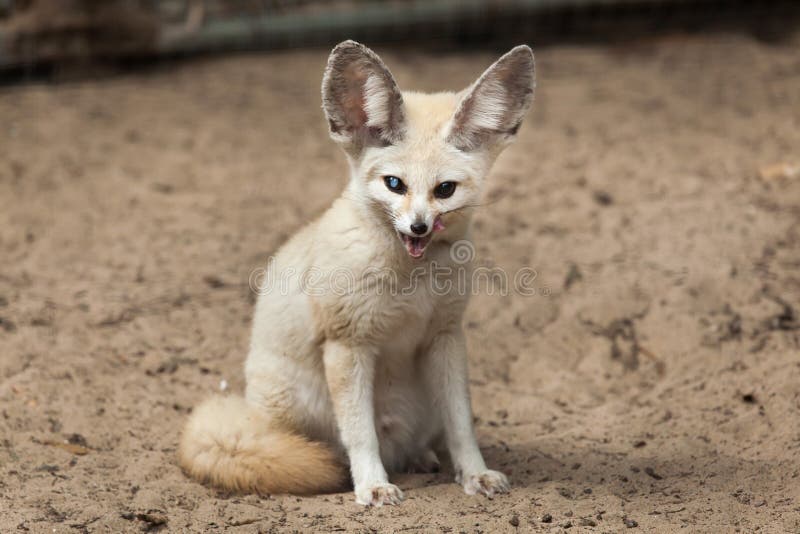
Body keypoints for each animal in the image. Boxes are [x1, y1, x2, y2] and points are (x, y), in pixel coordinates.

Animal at [178, 40, 536, 506]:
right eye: (394, 184)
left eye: (445, 190)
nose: (418, 227)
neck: (411, 284)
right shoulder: (348, 344)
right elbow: (360, 433)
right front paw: (371, 484)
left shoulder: (446, 336)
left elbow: (462, 425)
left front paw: (474, 473)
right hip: (292, 405)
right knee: (305, 448)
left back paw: (420, 458)